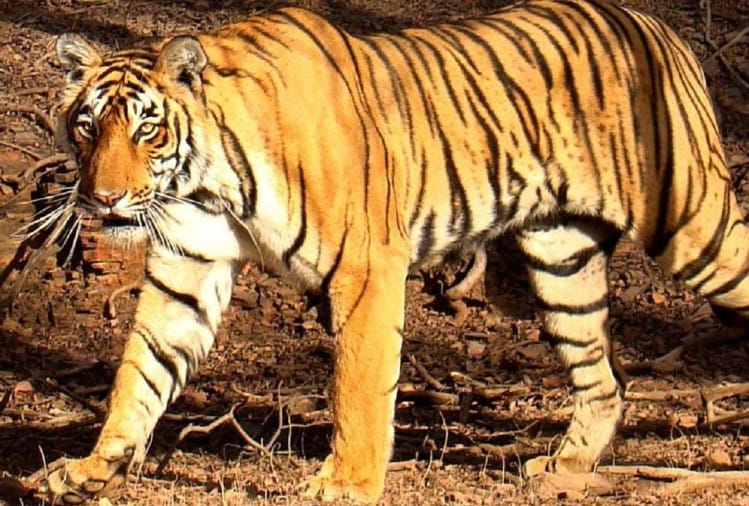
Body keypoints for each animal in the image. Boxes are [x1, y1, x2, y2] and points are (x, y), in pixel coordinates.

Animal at [40, 0, 749, 503]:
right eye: (87, 125)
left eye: (147, 128)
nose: (103, 198)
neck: (207, 184)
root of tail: (659, 27)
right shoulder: (187, 269)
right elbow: (140, 373)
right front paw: (92, 469)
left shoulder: (366, 267)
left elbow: (358, 383)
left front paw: (346, 484)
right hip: (562, 258)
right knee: (604, 379)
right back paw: (565, 466)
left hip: (693, 224)